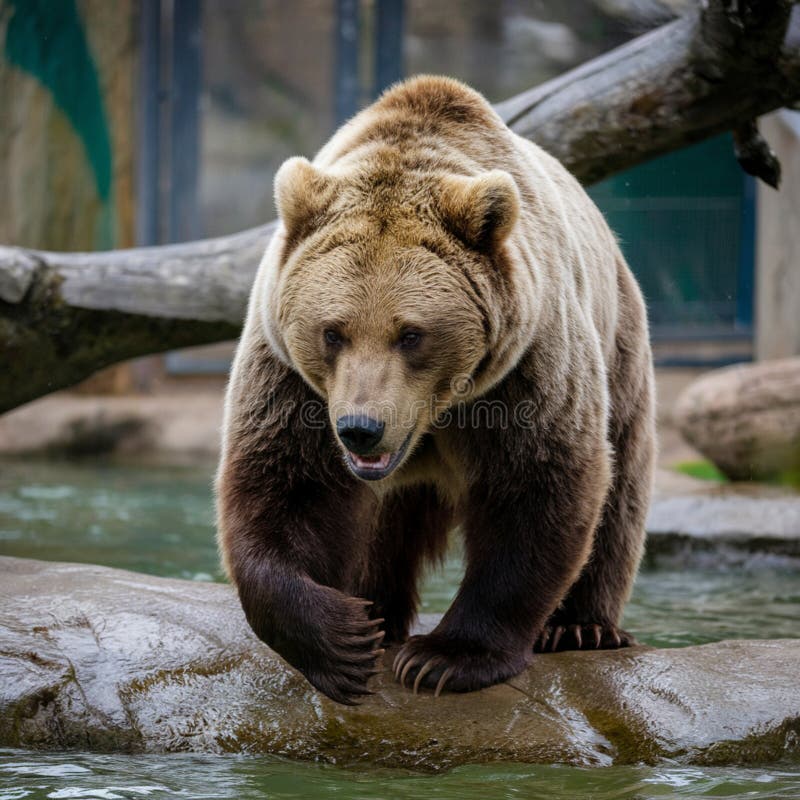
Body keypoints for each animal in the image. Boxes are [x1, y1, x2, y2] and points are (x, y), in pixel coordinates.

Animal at [216, 75, 655, 705]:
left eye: (411, 334)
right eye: (332, 331)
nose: (361, 428)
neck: (437, 417)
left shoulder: (525, 369)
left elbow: (539, 486)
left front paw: (445, 658)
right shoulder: (291, 380)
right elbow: (283, 484)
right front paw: (343, 641)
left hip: (618, 342)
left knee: (621, 488)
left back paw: (582, 626)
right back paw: (378, 607)